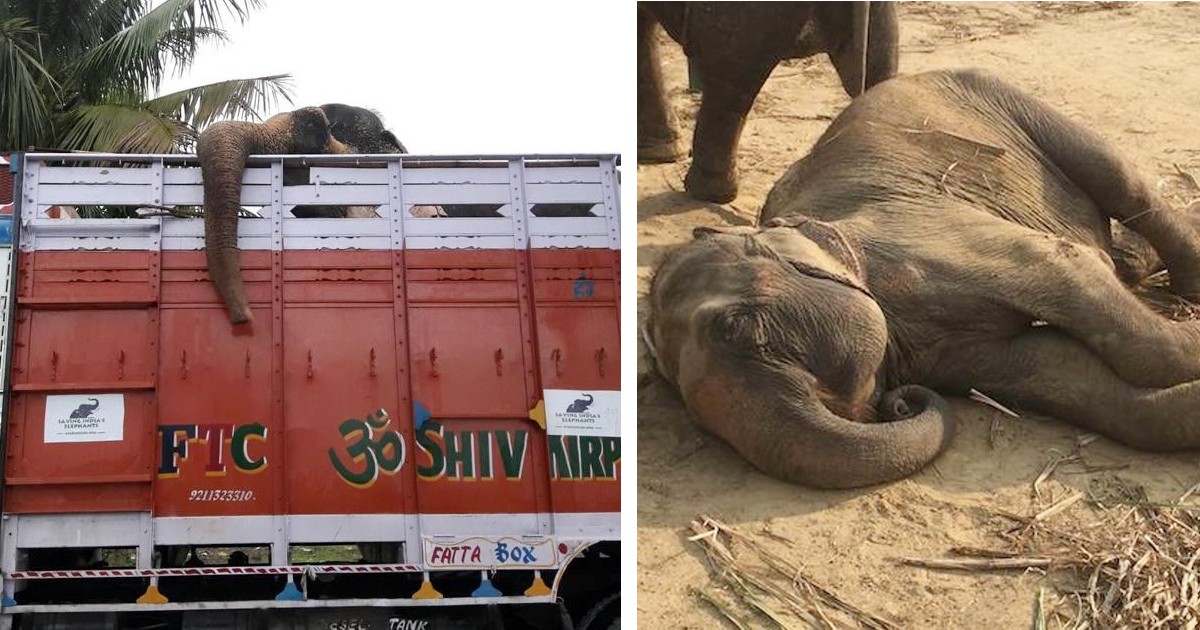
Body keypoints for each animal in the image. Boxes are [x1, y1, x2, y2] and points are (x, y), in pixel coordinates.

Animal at [647, 68, 1200, 489]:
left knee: (1122, 182)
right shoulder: (956, 355)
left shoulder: (935, 242)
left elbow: (1079, 275)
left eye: (742, 329)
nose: (899, 402)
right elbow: (1076, 380)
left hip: (1014, 102)